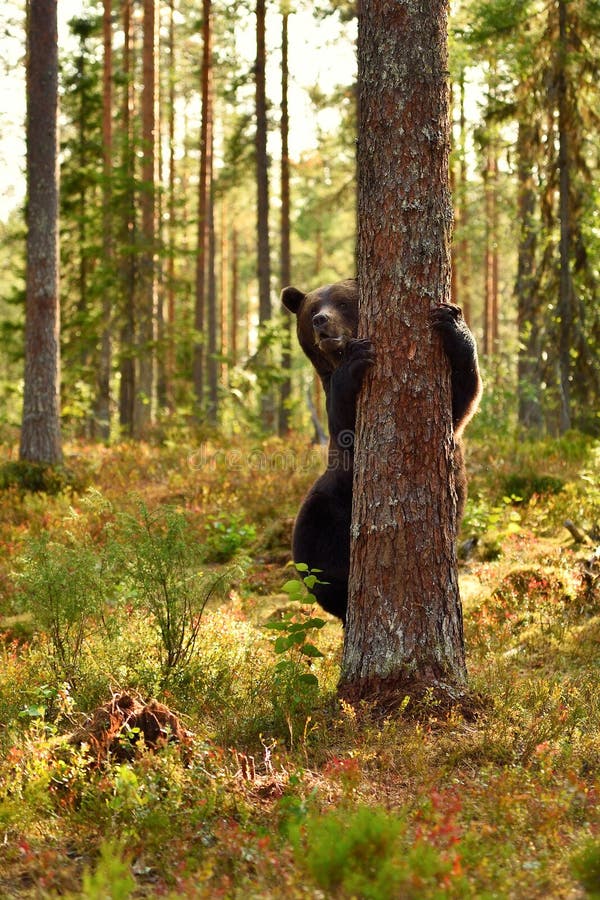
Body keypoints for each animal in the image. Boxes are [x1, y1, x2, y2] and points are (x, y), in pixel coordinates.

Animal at [281, 278, 482, 623]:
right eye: (312, 309)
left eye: (342, 303)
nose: (321, 321)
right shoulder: (336, 413)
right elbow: (345, 422)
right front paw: (356, 357)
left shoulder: (452, 418)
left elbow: (464, 392)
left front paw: (452, 322)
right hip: (328, 506)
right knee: (315, 551)